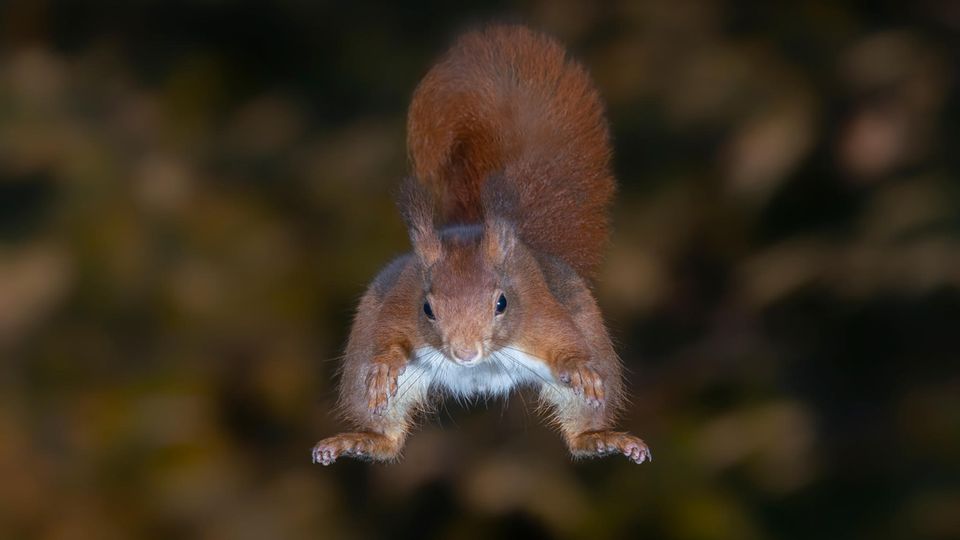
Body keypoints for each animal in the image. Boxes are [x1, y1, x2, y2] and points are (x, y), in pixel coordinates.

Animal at [313, 25, 651, 465]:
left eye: (502, 302)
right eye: (428, 308)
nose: (465, 354)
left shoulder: (544, 314)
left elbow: (569, 344)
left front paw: (579, 367)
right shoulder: (397, 304)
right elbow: (388, 337)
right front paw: (385, 365)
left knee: (580, 431)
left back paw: (600, 437)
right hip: (367, 379)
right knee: (386, 439)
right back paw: (361, 439)